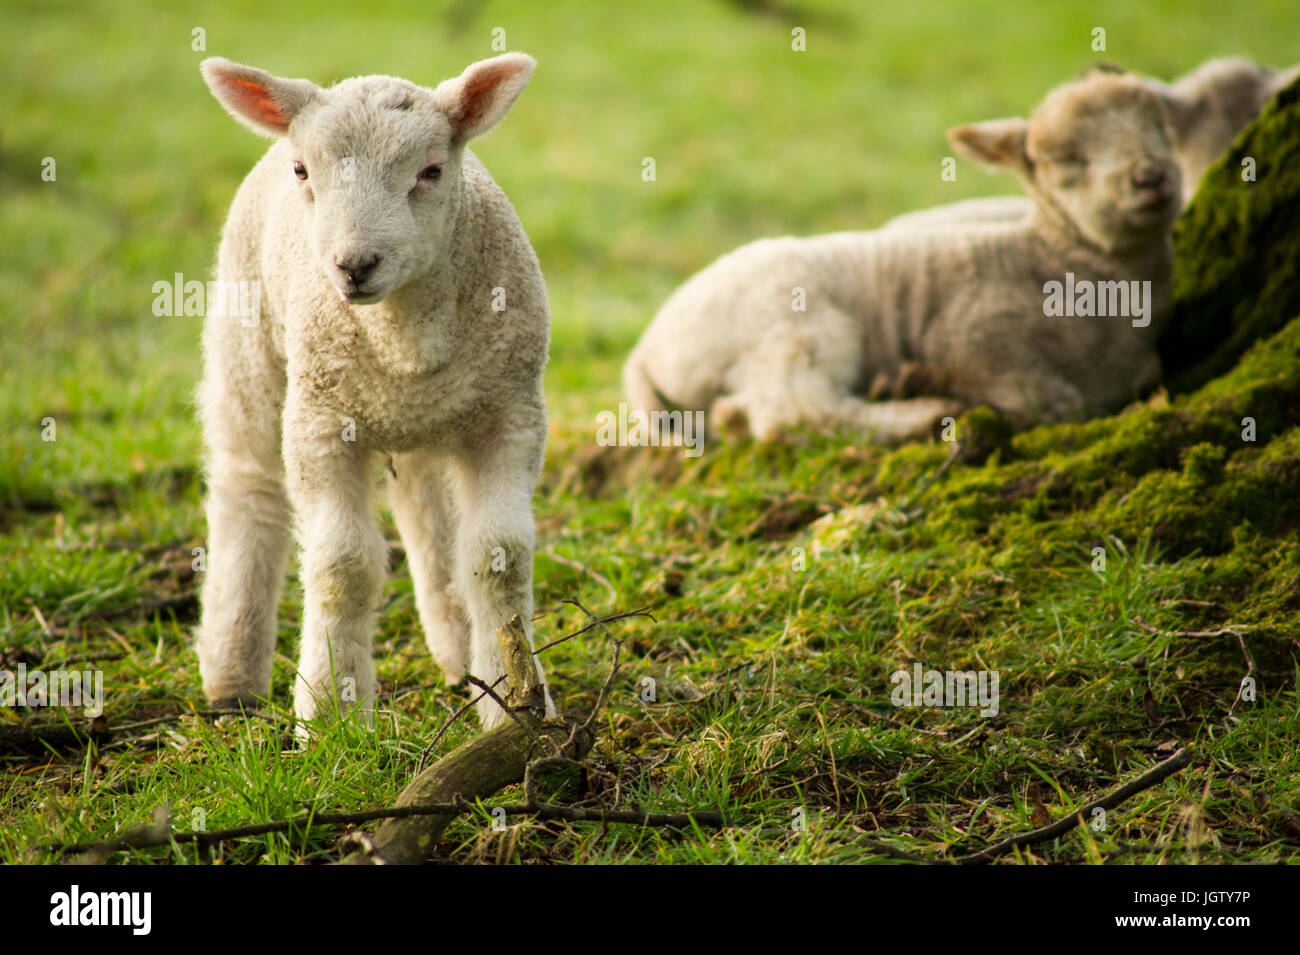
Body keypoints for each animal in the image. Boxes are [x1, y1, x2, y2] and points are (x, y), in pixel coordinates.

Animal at [194, 53, 553, 732]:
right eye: (305, 170)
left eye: (431, 171)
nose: (354, 265)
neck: (404, 341)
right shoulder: (320, 423)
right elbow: (343, 566)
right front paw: (332, 711)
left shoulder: (510, 416)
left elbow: (498, 557)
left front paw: (514, 706)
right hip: (247, 349)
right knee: (247, 489)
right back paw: (232, 676)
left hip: (420, 424)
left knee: (425, 512)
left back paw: (455, 654)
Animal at [623, 72, 1181, 443]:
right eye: (1067, 160)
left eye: (1161, 126)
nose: (1150, 176)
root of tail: (647, 347)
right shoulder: (975, 338)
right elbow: (1057, 403)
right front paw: (944, 386)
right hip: (793, 325)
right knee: (797, 411)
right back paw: (923, 407)